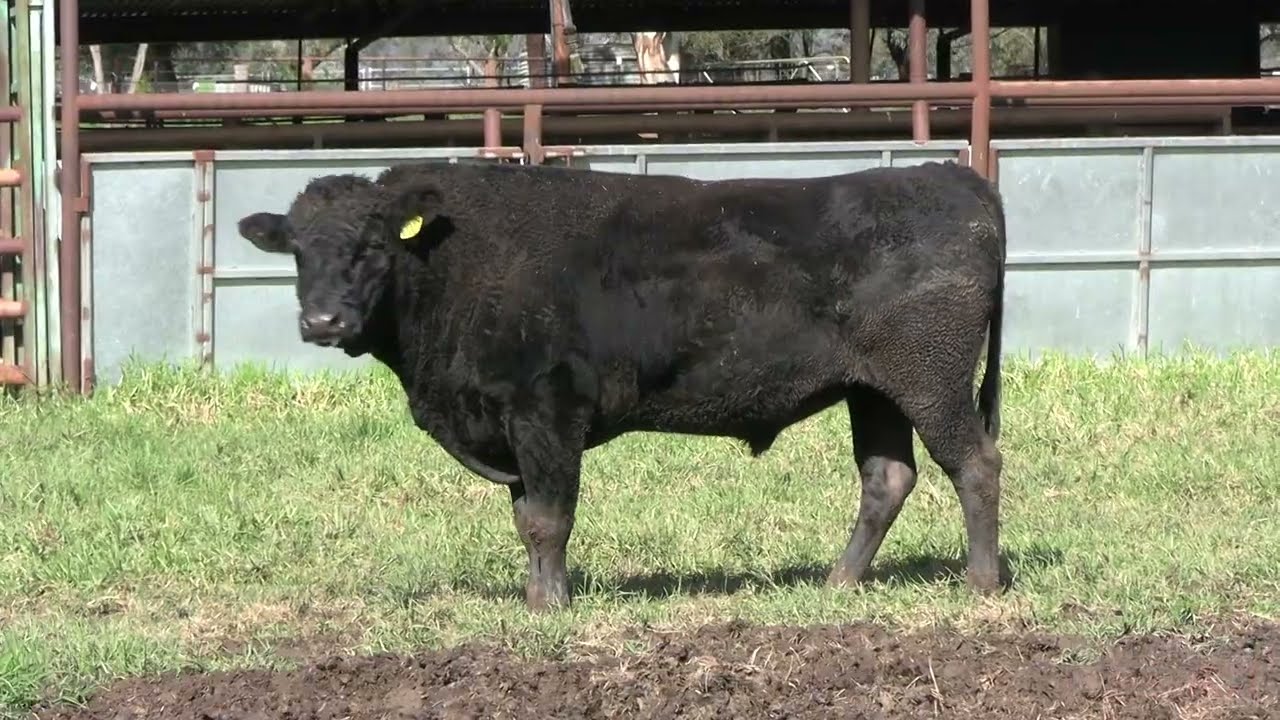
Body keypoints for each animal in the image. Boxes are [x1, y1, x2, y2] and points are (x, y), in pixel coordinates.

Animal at [236, 159, 1007, 612]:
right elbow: (526, 516)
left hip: (930, 382)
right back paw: (838, 582)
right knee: (887, 478)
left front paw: (550, 607)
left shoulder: (545, 413)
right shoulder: (514, 428)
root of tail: (951, 177)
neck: (452, 256)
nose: (322, 319)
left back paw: (980, 582)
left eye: (372, 245)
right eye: (298, 250)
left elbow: (549, 517)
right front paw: (537, 595)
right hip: (874, 392)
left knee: (974, 464)